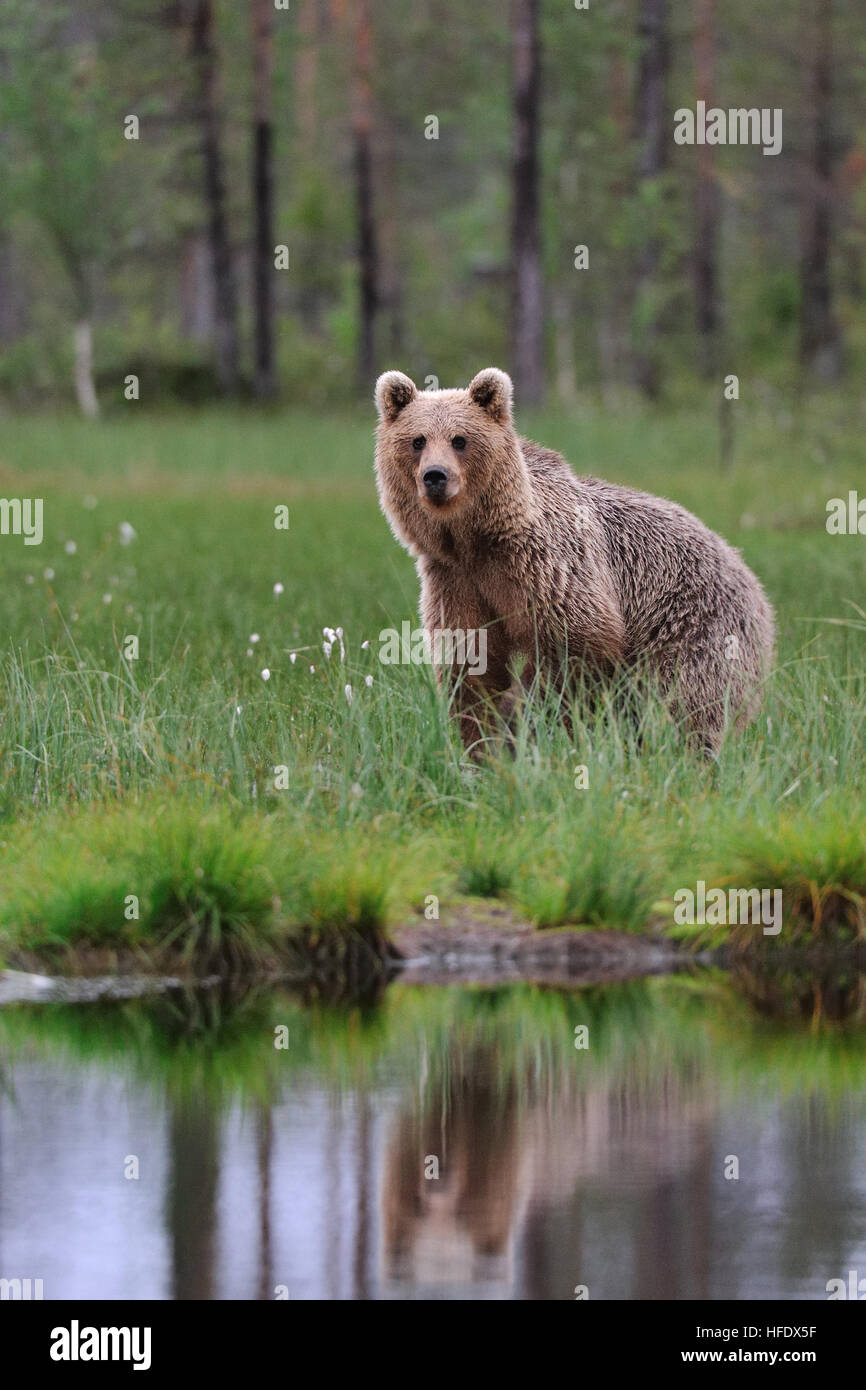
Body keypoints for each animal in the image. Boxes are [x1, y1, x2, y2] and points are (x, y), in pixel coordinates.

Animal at [374, 366, 775, 755]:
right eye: (418, 440)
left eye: (460, 439)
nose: (435, 476)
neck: (475, 540)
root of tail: (747, 572)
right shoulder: (455, 579)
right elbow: (474, 661)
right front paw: (484, 746)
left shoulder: (545, 565)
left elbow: (574, 645)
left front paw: (519, 720)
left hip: (693, 619)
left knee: (689, 699)